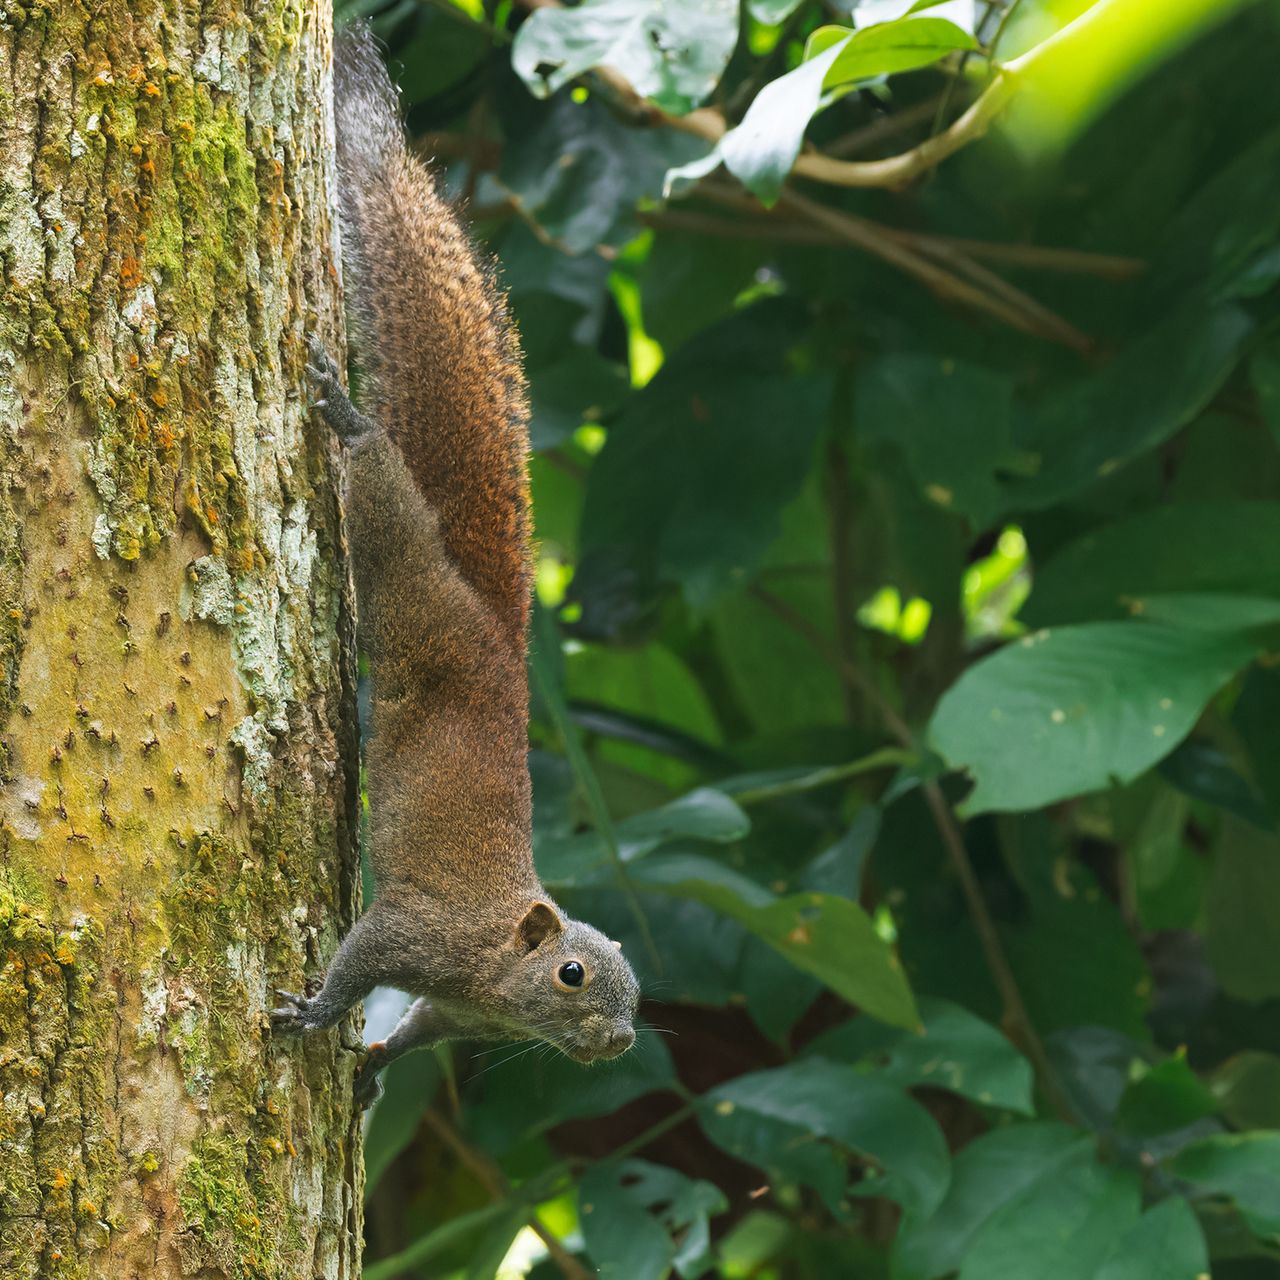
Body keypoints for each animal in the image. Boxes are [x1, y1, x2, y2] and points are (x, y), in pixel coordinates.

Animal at [272, 25, 639, 1108]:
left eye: (637, 991)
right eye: (572, 975)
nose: (619, 1043)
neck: (496, 970)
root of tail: (495, 630)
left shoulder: (457, 1011)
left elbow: (418, 1030)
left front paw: (372, 1068)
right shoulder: (420, 932)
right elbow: (361, 956)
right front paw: (318, 1011)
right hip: (407, 582)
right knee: (382, 501)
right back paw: (349, 421)